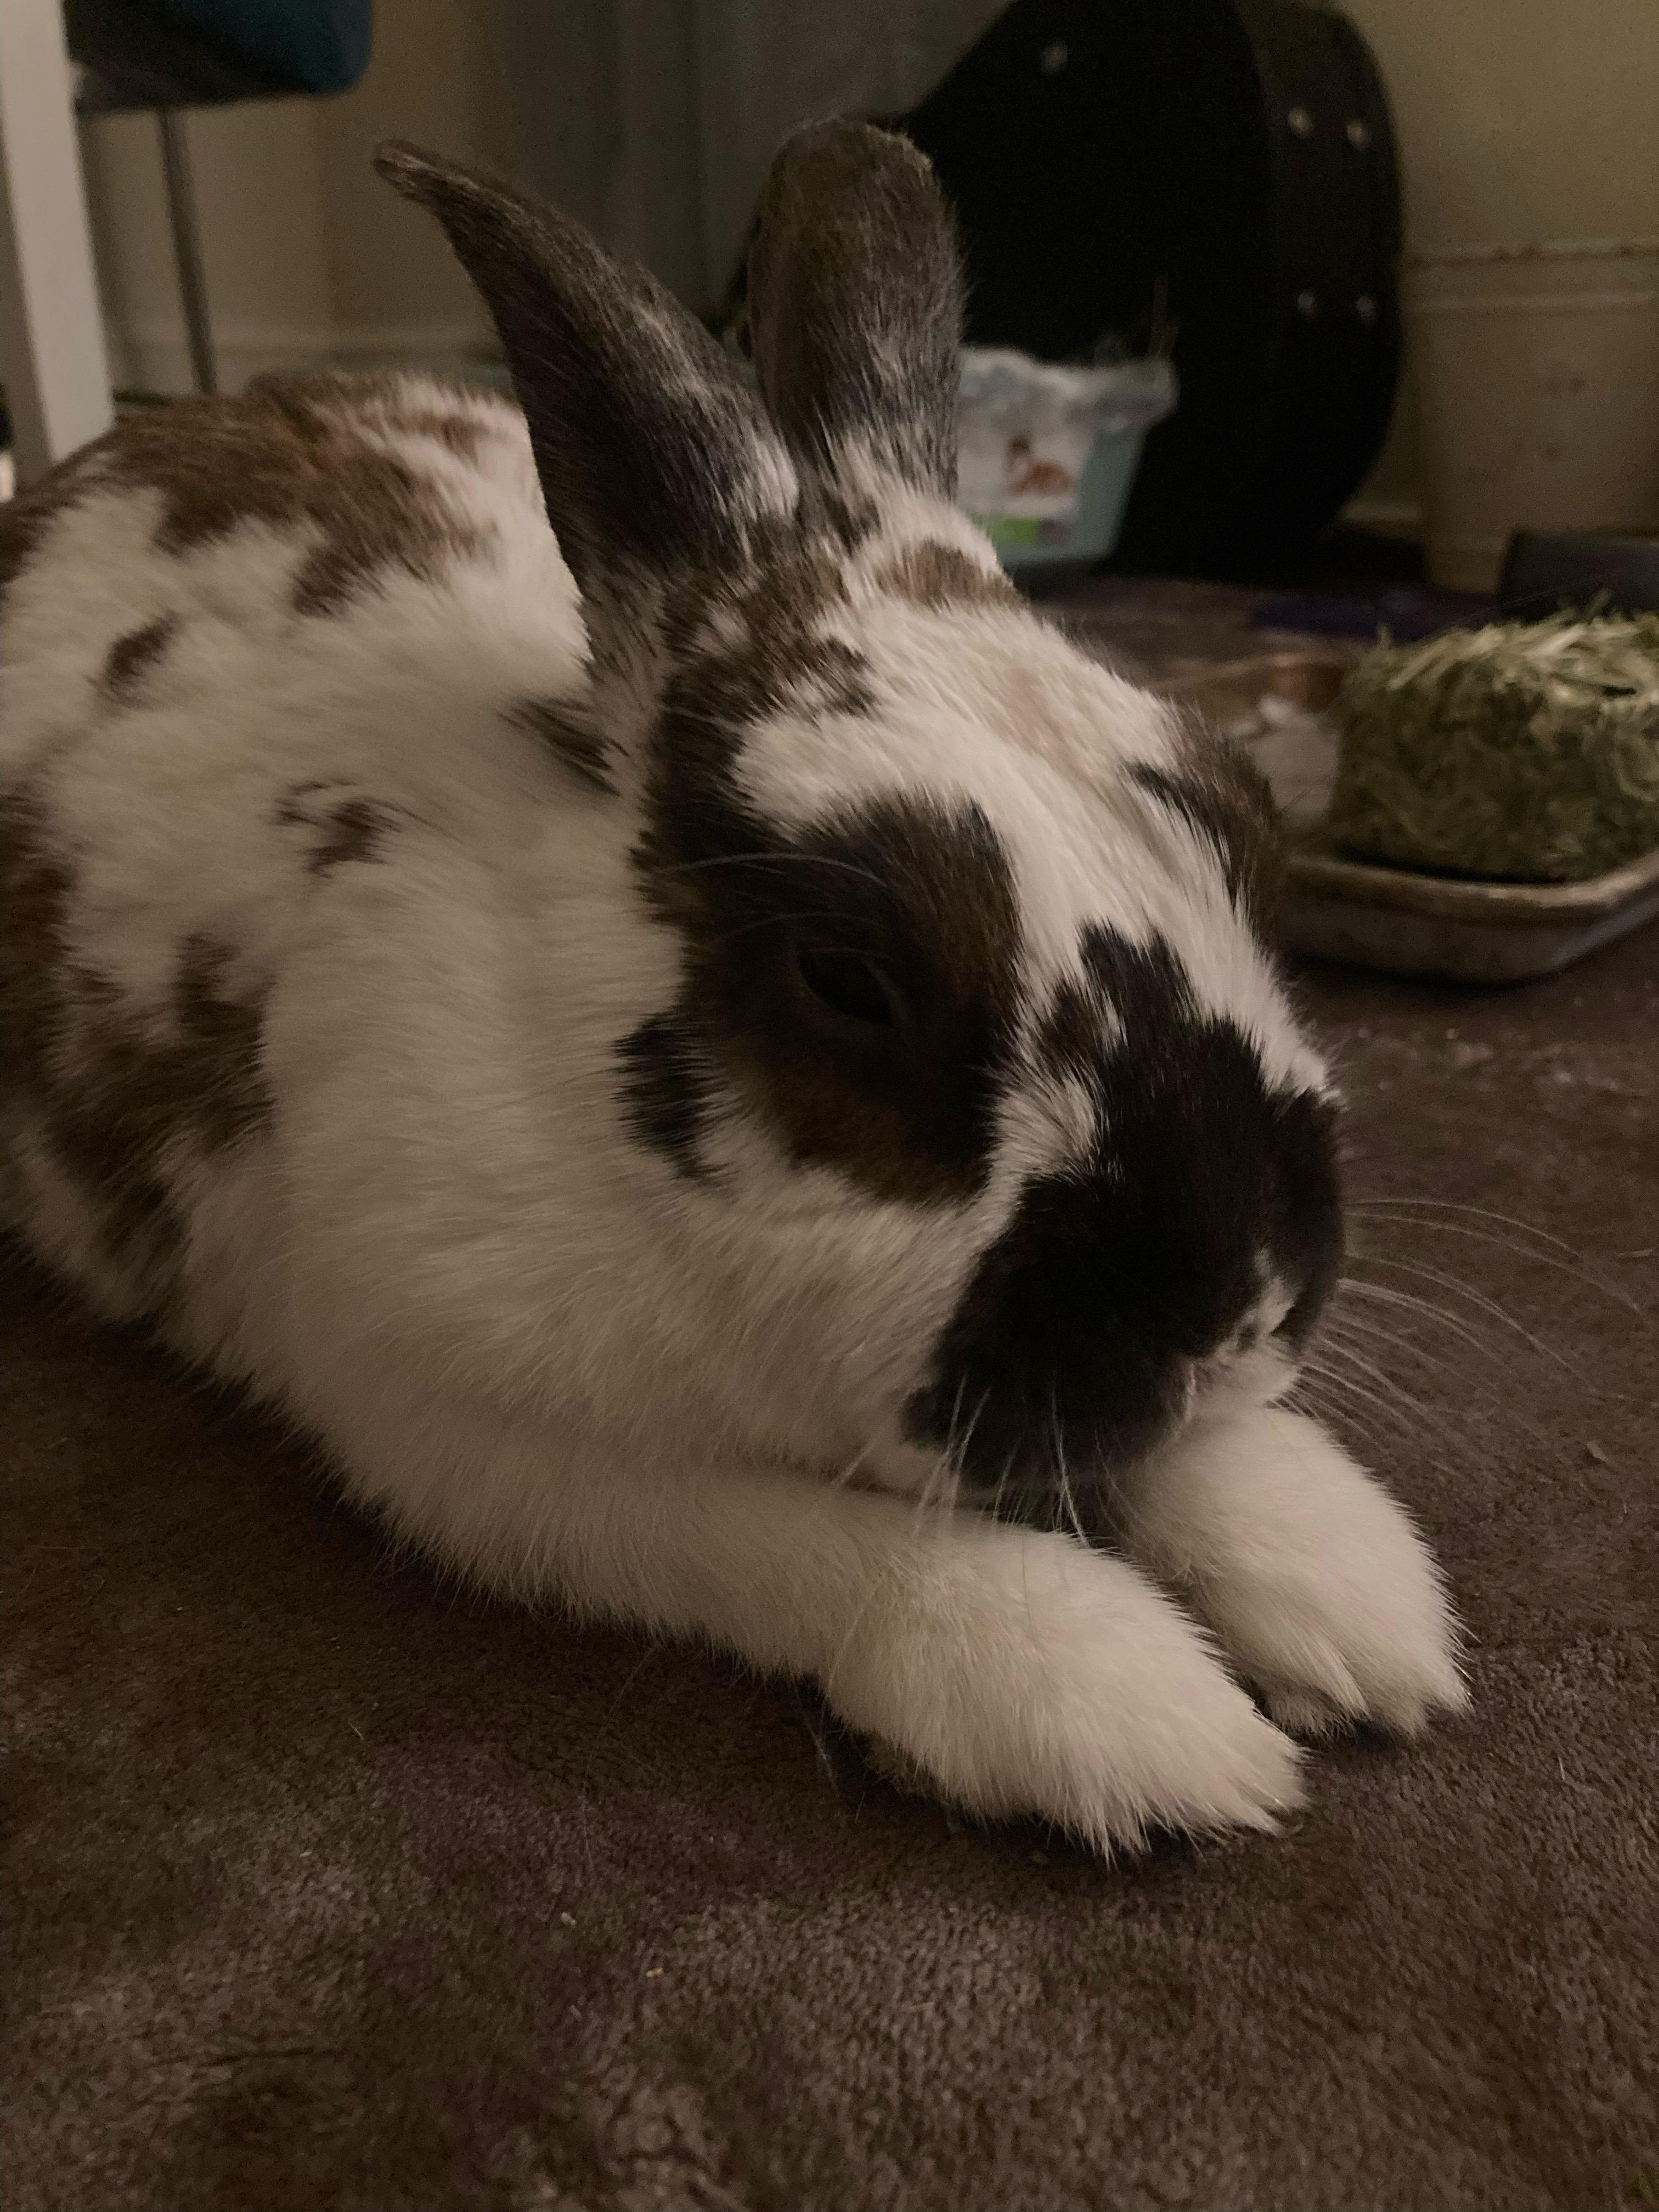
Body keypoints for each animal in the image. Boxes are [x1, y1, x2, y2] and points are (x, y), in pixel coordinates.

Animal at [0, 121, 1466, 1854]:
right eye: (849, 980)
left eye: (1250, 835)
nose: (1233, 1302)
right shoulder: (474, 1429)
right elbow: (825, 1546)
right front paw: (1144, 1726)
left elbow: (1192, 1457)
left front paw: (1358, 1606)